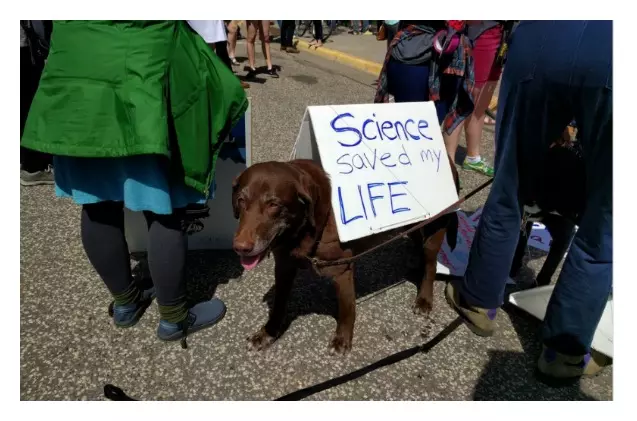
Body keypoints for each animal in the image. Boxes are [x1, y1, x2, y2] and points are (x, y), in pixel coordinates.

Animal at [230, 158, 458, 354]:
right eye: (241, 200)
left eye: (273, 205)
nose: (241, 248)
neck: (303, 230)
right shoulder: (284, 266)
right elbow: (278, 304)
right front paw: (268, 333)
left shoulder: (342, 269)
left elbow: (347, 309)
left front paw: (342, 340)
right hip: (413, 226)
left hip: (435, 229)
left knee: (430, 264)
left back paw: (424, 299)